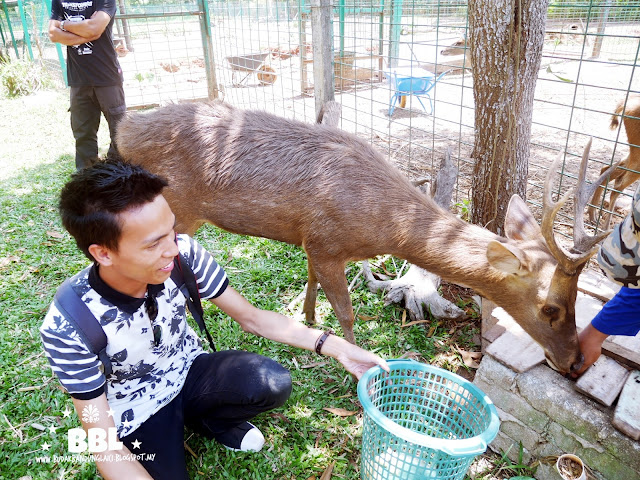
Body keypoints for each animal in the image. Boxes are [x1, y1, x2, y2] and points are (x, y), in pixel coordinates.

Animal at [115, 101, 617, 374]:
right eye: (551, 308)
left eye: (576, 301)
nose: (574, 361)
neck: (386, 226)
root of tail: (125, 130)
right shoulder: (328, 241)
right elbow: (348, 313)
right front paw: (356, 367)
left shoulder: (312, 239)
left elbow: (311, 282)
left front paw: (306, 318)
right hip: (177, 214)